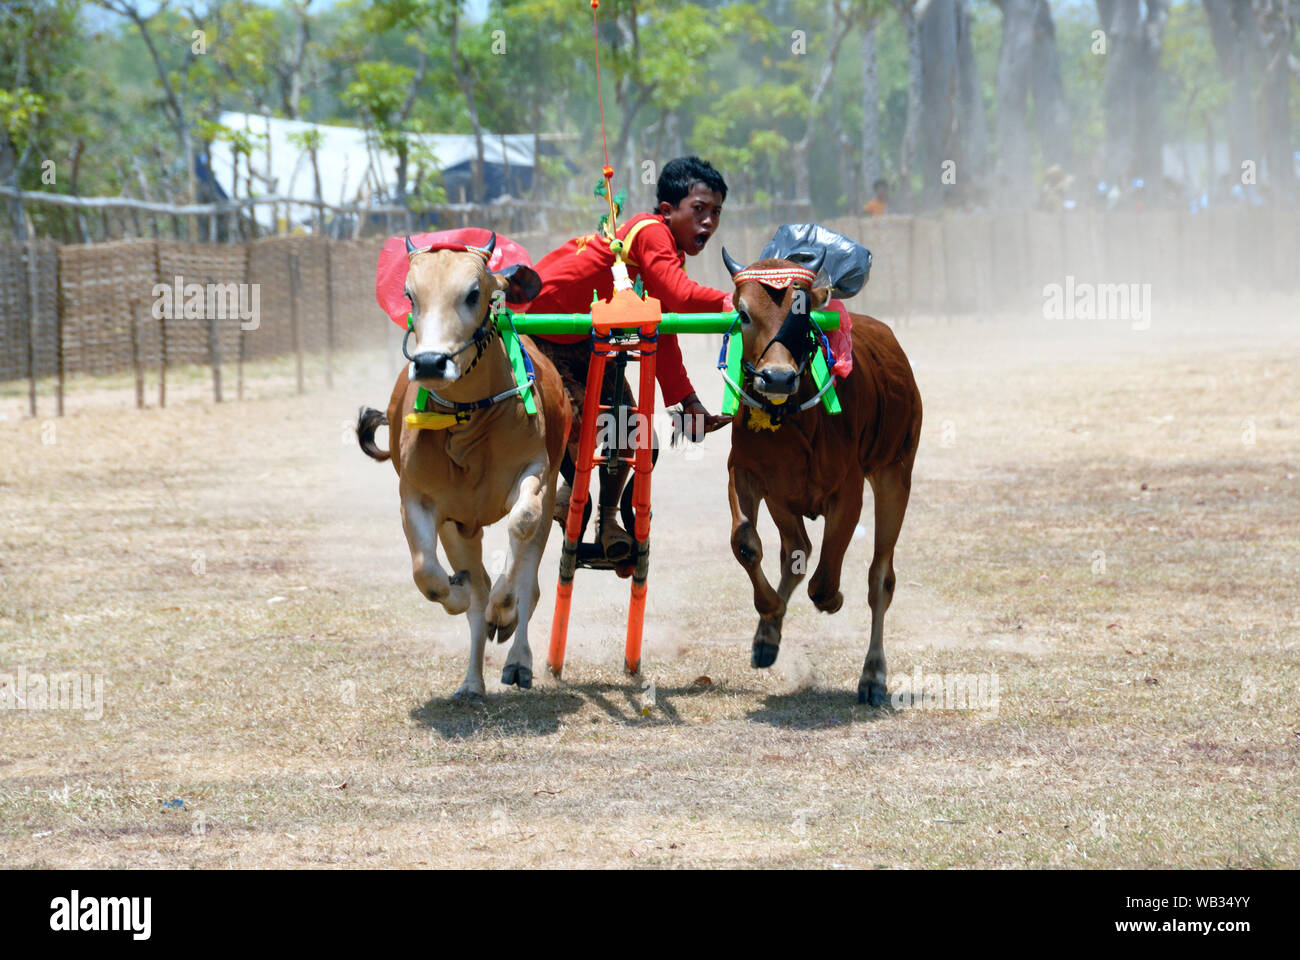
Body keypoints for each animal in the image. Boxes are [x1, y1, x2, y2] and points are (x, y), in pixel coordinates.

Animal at [357, 234, 570, 700]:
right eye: (410, 295)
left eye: (474, 293)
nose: (430, 363)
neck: (468, 425)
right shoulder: (421, 502)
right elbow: (430, 574)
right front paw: (455, 594)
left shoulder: (536, 477)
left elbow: (518, 542)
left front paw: (504, 613)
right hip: (461, 531)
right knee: (477, 591)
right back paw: (472, 681)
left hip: (545, 510)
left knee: (529, 587)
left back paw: (517, 659)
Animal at [721, 247, 922, 705]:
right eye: (743, 313)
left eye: (803, 312)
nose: (777, 377)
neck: (793, 419)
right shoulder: (747, 472)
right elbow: (745, 543)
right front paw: (769, 613)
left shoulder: (849, 492)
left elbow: (827, 582)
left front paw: (833, 601)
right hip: (783, 500)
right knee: (796, 553)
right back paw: (767, 637)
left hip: (895, 473)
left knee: (880, 578)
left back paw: (873, 675)